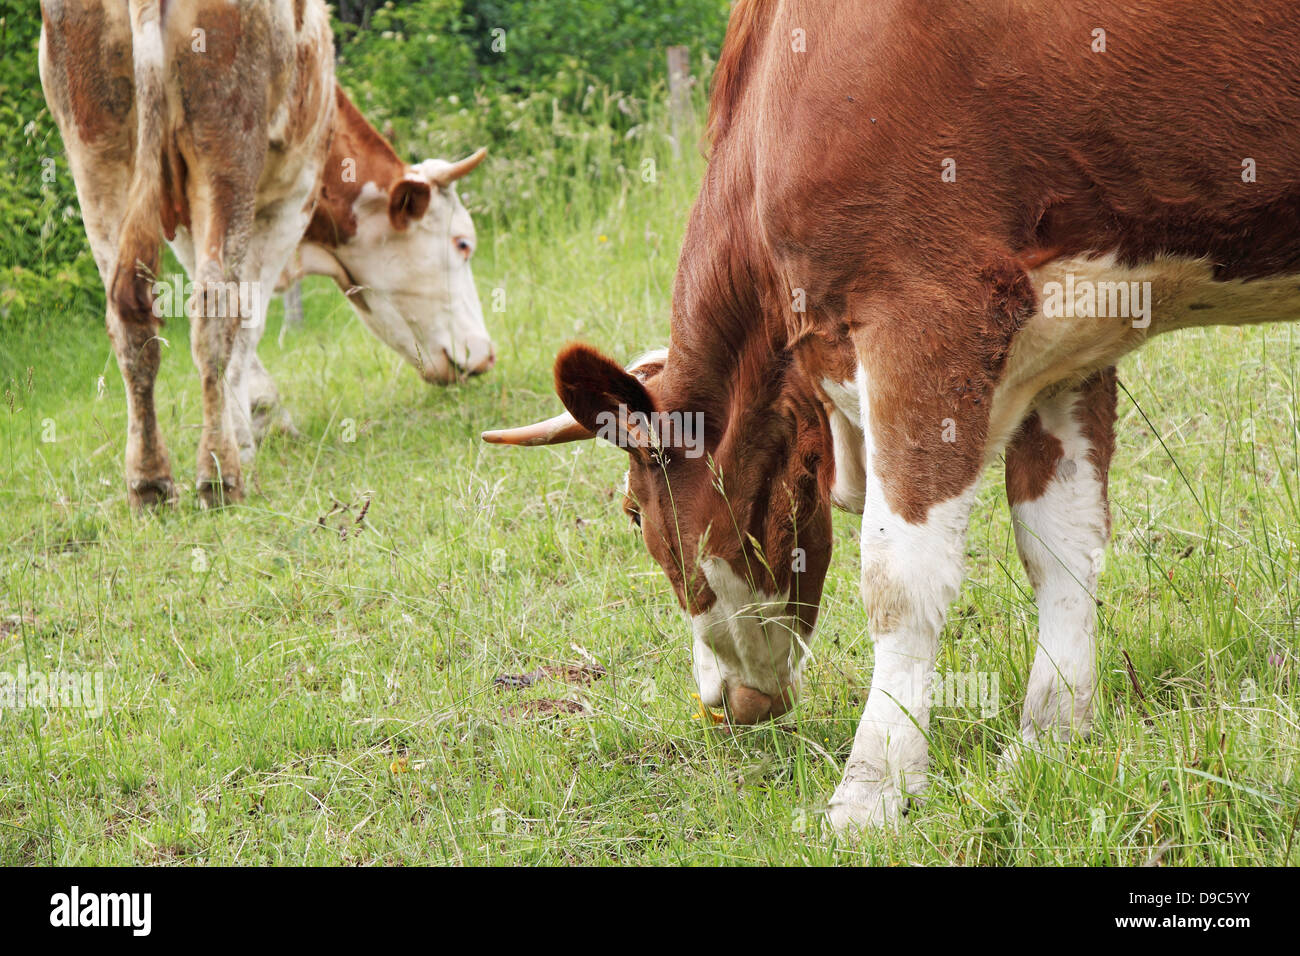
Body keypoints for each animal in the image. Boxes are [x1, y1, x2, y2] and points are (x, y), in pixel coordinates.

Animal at [39, 0, 493, 510]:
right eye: (462, 243)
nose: (485, 355)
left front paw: (254, 417)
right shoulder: (291, 199)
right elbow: (248, 318)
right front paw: (250, 427)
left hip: (97, 151)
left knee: (130, 316)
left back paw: (150, 482)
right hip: (228, 150)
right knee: (214, 313)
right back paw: (219, 475)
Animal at [484, 0, 1300, 832]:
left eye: (628, 511)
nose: (720, 703)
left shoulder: (928, 305)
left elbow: (898, 579)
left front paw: (872, 789)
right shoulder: (1069, 342)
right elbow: (1062, 546)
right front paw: (1051, 736)